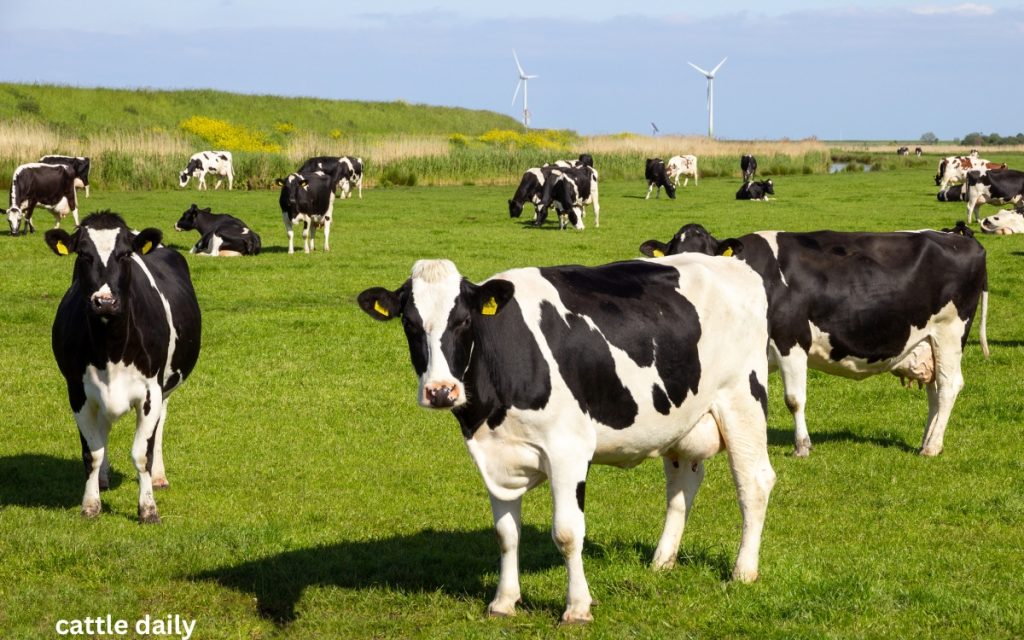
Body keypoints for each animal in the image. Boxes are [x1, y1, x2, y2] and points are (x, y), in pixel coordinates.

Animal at [44, 211, 201, 523]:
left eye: (126, 254)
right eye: (83, 254)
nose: (104, 301)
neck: (111, 348)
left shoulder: (151, 392)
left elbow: (142, 454)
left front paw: (148, 509)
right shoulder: (77, 392)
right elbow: (92, 452)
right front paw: (90, 504)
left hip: (165, 388)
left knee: (160, 427)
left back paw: (159, 477)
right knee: (103, 430)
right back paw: (103, 479)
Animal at [358, 255, 775, 623]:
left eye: (463, 321)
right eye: (410, 323)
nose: (441, 391)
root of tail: (732, 264)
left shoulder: (567, 450)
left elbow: (567, 533)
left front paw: (577, 608)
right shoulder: (494, 454)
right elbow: (506, 533)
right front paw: (503, 602)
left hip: (742, 399)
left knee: (754, 482)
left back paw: (743, 571)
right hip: (681, 420)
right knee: (682, 485)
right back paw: (662, 561)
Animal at [639, 223, 989, 458]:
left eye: (708, 257)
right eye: (671, 256)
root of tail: (959, 236)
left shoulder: (791, 338)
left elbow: (794, 399)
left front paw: (802, 446)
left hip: (951, 330)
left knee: (949, 385)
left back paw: (931, 447)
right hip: (928, 340)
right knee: (934, 389)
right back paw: (928, 439)